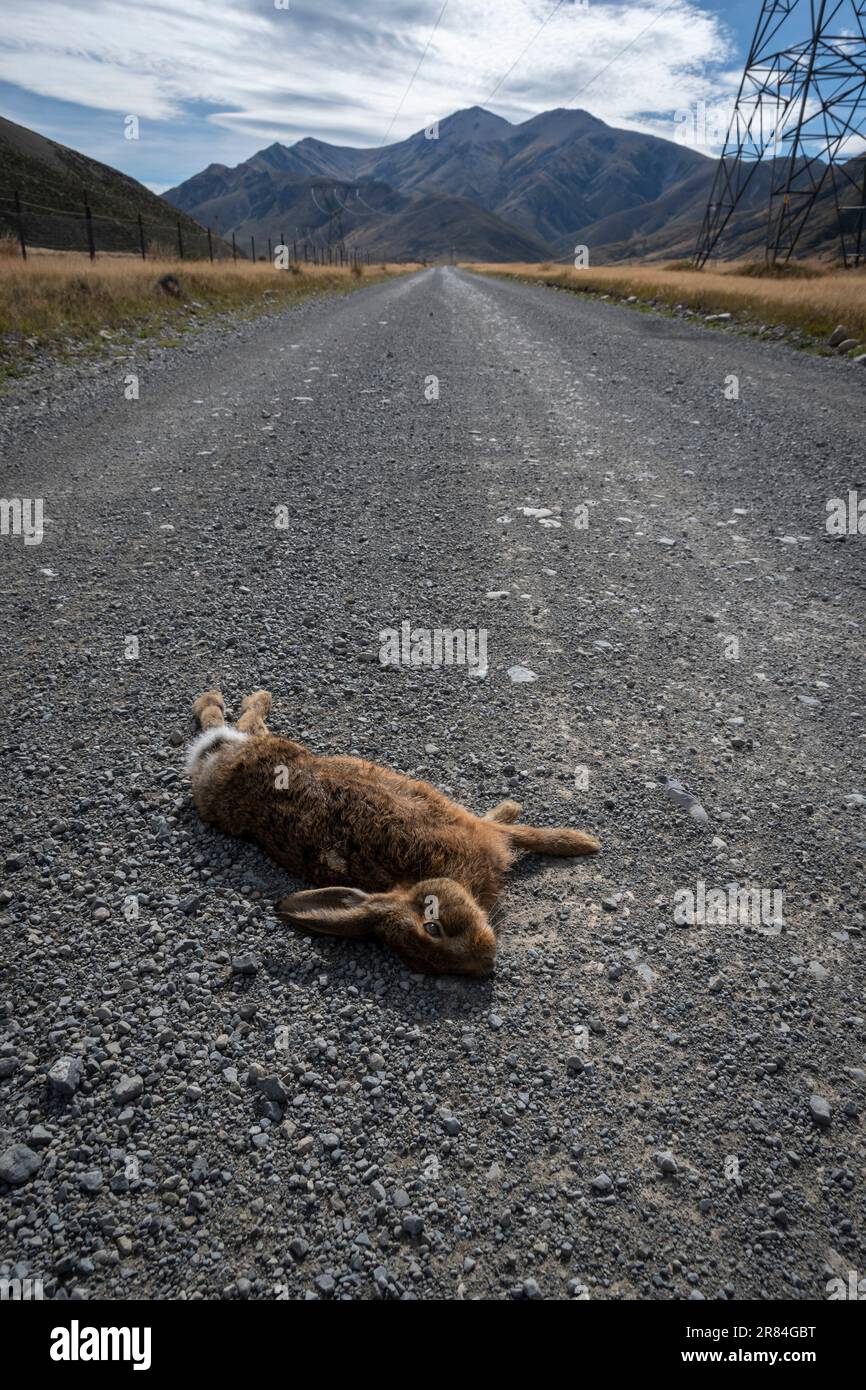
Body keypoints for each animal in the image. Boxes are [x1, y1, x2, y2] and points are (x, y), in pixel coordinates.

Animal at [186, 689, 600, 976]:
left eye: (433, 926)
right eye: (431, 944)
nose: (486, 966)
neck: (426, 876)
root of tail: (211, 758)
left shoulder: (477, 830)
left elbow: (526, 833)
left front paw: (583, 843)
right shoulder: (482, 836)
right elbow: (519, 834)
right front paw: (575, 838)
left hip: (283, 750)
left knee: (244, 725)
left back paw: (240, 698)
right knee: (234, 725)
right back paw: (223, 700)